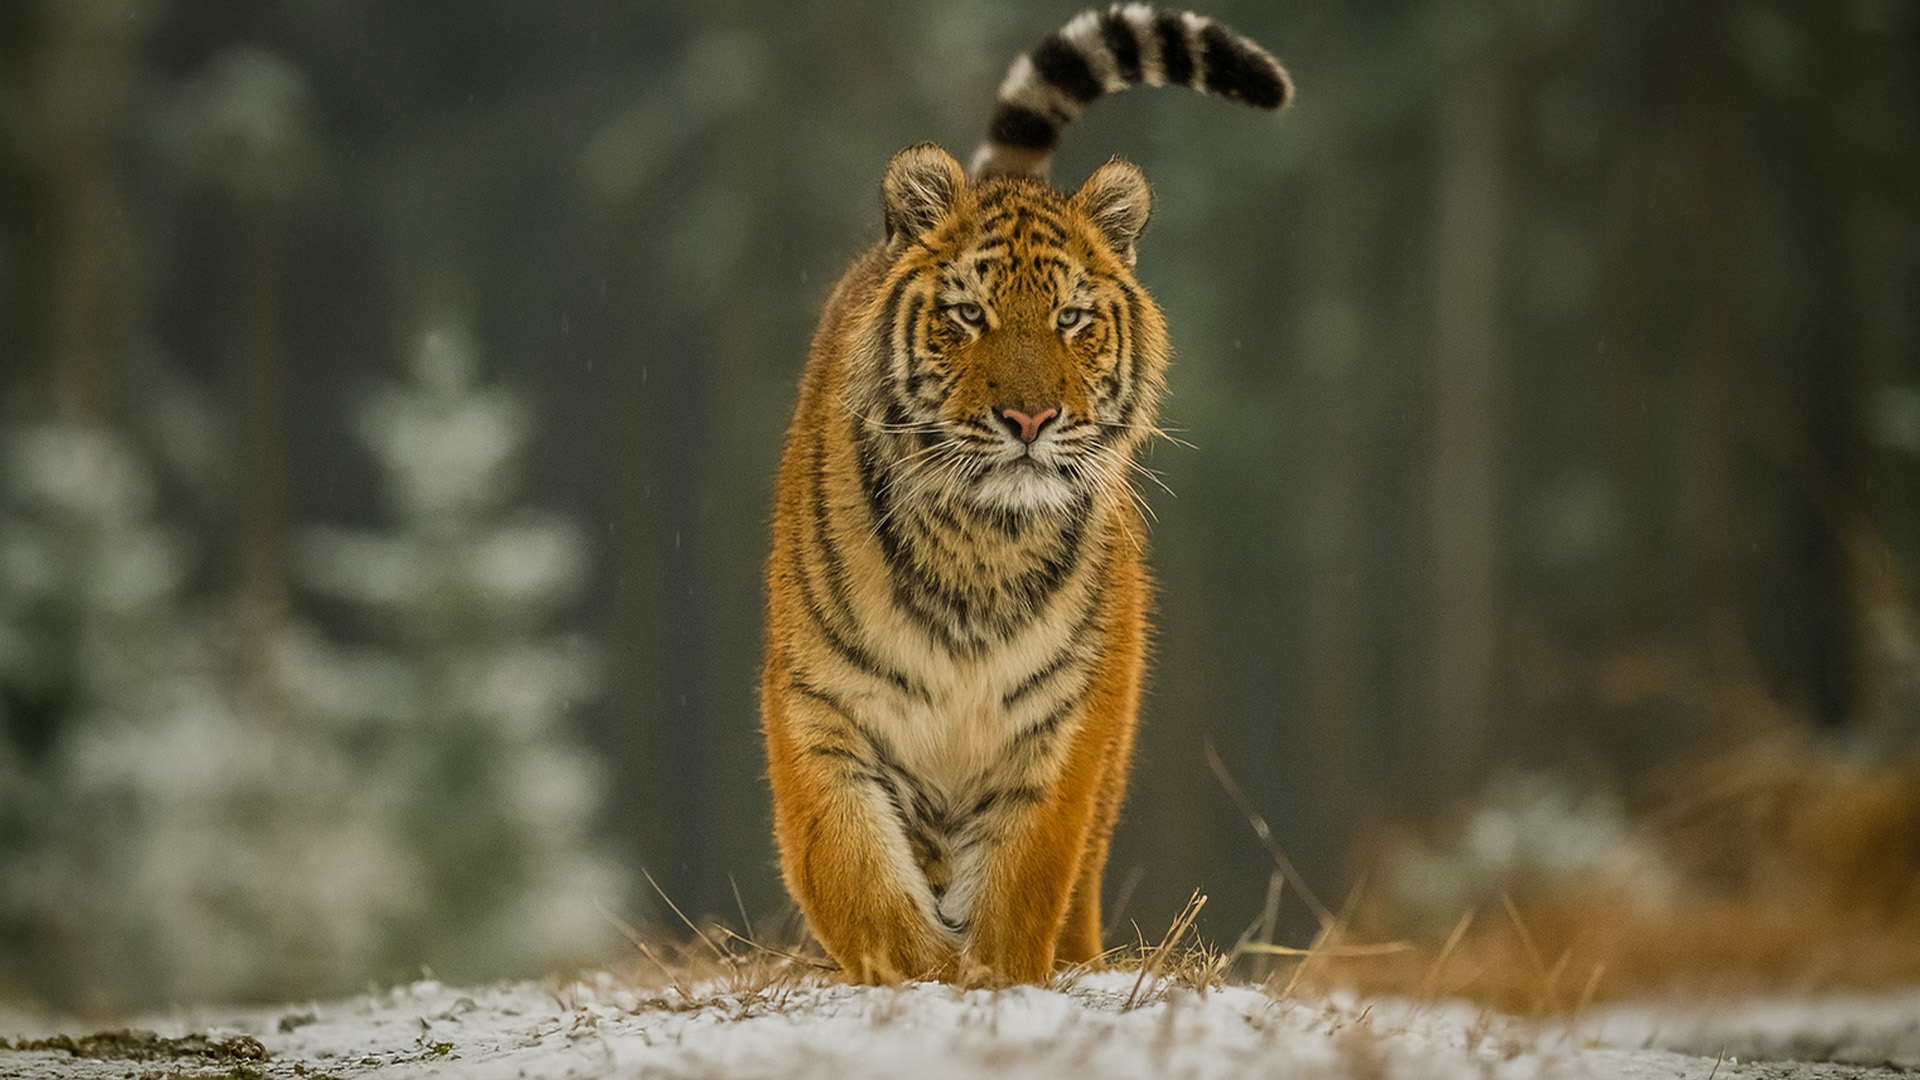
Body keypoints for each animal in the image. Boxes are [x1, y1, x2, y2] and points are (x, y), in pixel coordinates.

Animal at [762, 5, 1291, 985]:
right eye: (968, 314)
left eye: (1071, 319)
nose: (1031, 417)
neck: (981, 536)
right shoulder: (822, 704)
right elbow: (853, 869)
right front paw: (912, 967)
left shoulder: (1063, 726)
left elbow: (1022, 882)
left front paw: (996, 974)